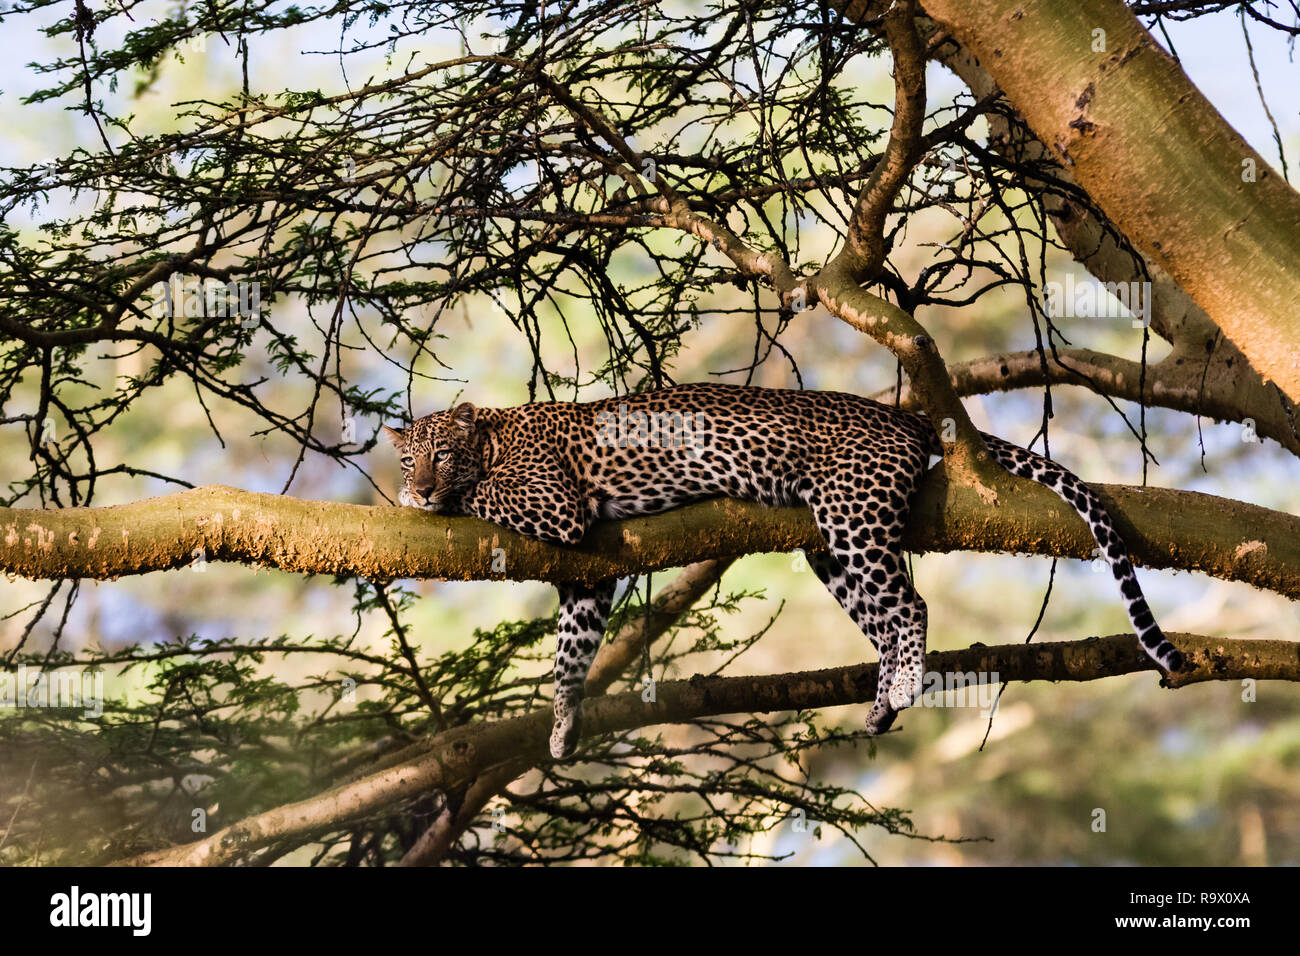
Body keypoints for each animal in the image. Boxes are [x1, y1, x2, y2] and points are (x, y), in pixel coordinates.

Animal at [382, 383, 1183, 759]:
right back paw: (883, 704)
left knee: (912, 609)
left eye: (441, 455)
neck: (497, 429)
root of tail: (907, 416)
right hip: (832, 546)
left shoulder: (556, 507)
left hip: (854, 516)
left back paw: (905, 687)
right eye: (407, 457)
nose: (414, 487)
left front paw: (436, 500)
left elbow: (485, 496)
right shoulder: (587, 572)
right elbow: (570, 654)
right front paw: (562, 728)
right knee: (888, 617)